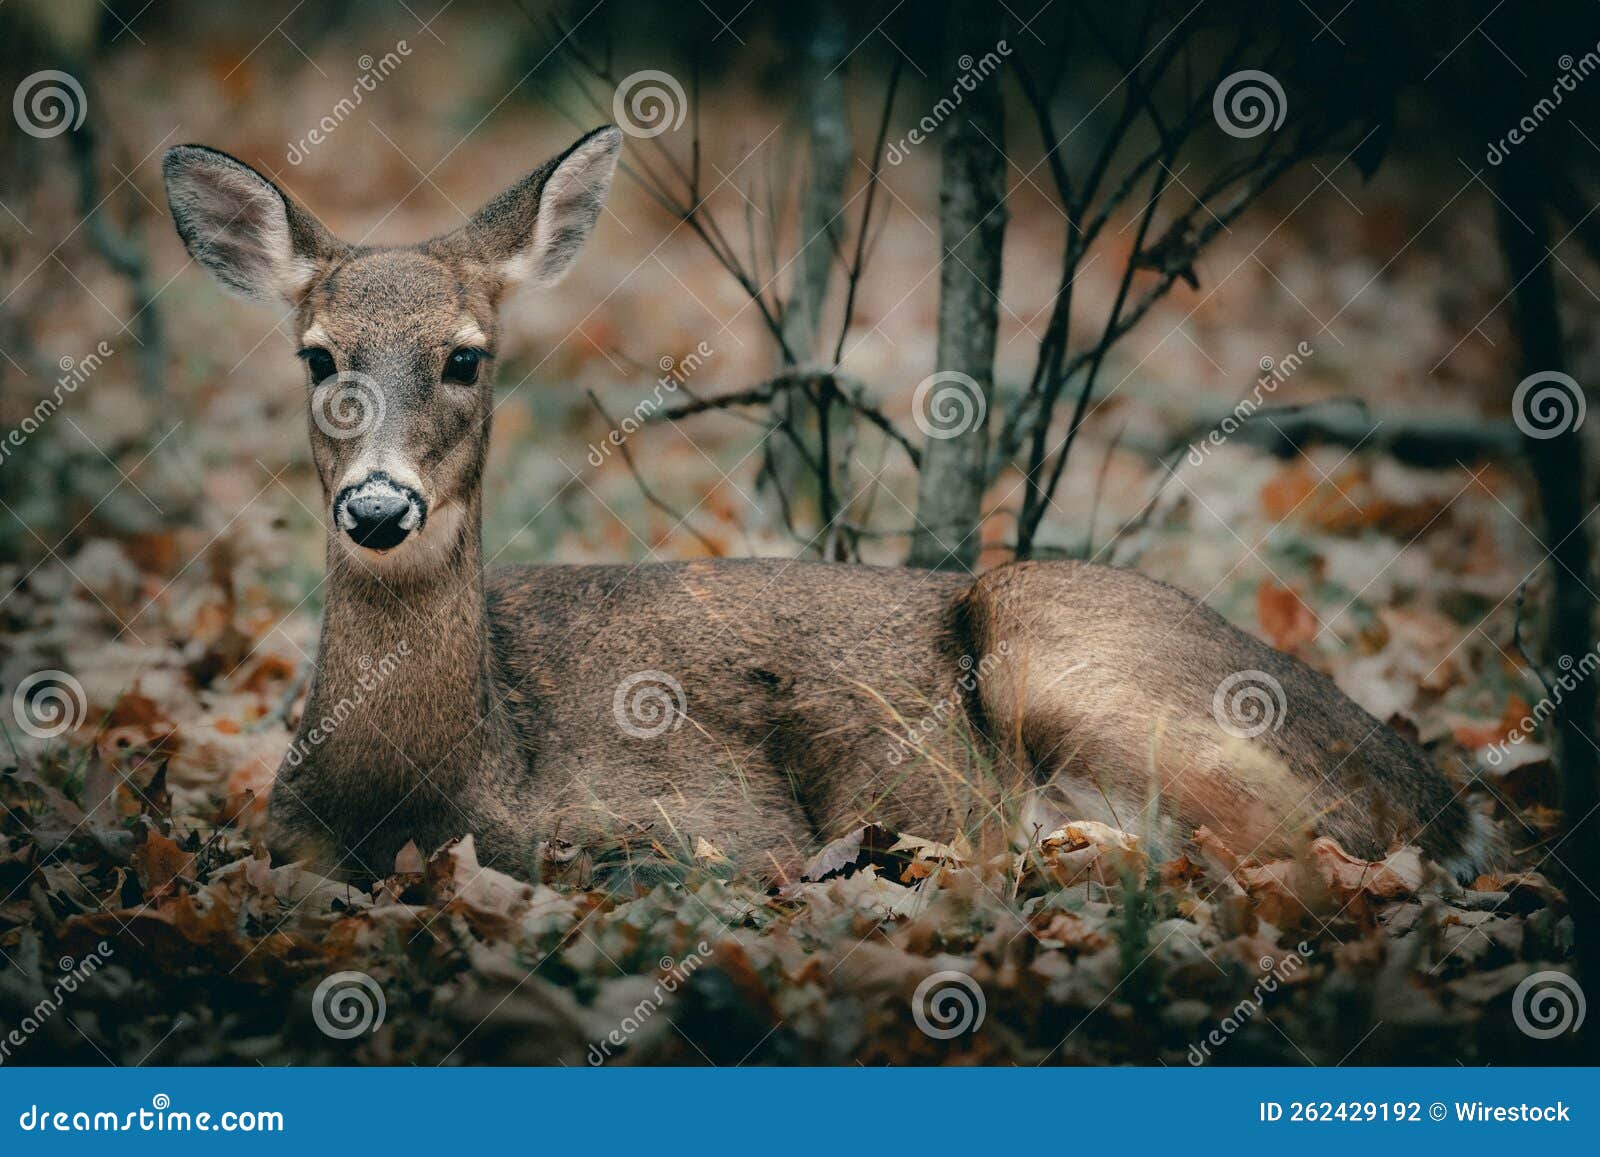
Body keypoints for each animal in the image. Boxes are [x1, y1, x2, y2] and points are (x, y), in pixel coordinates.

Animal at [161, 126, 1501, 886]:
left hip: (1069, 645)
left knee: (1281, 836)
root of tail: (1439, 793)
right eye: (318, 357)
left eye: (465, 356)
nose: (380, 507)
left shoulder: (688, 822)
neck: (431, 781)